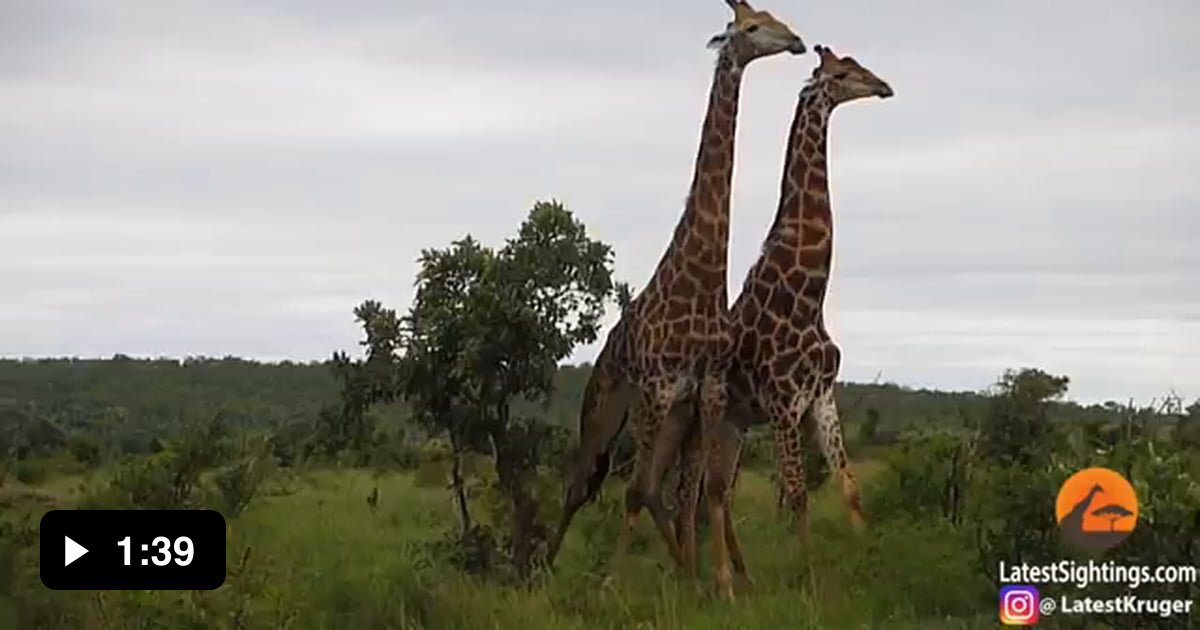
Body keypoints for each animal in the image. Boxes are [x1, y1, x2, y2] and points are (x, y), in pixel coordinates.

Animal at [547, 0, 806, 569]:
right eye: (751, 27)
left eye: (775, 17)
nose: (797, 42)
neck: (705, 275)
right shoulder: (658, 389)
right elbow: (635, 492)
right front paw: (614, 583)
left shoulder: (700, 392)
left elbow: (688, 490)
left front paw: (699, 578)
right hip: (608, 407)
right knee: (584, 483)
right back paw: (540, 569)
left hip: (666, 418)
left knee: (653, 488)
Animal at [671, 44, 895, 599]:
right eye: (845, 72)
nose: (883, 86)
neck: (808, 297)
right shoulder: (782, 401)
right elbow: (796, 492)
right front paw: (809, 577)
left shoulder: (820, 396)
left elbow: (849, 486)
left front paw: (869, 562)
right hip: (708, 416)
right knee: (700, 489)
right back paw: (711, 580)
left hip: (735, 423)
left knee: (720, 490)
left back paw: (739, 577)